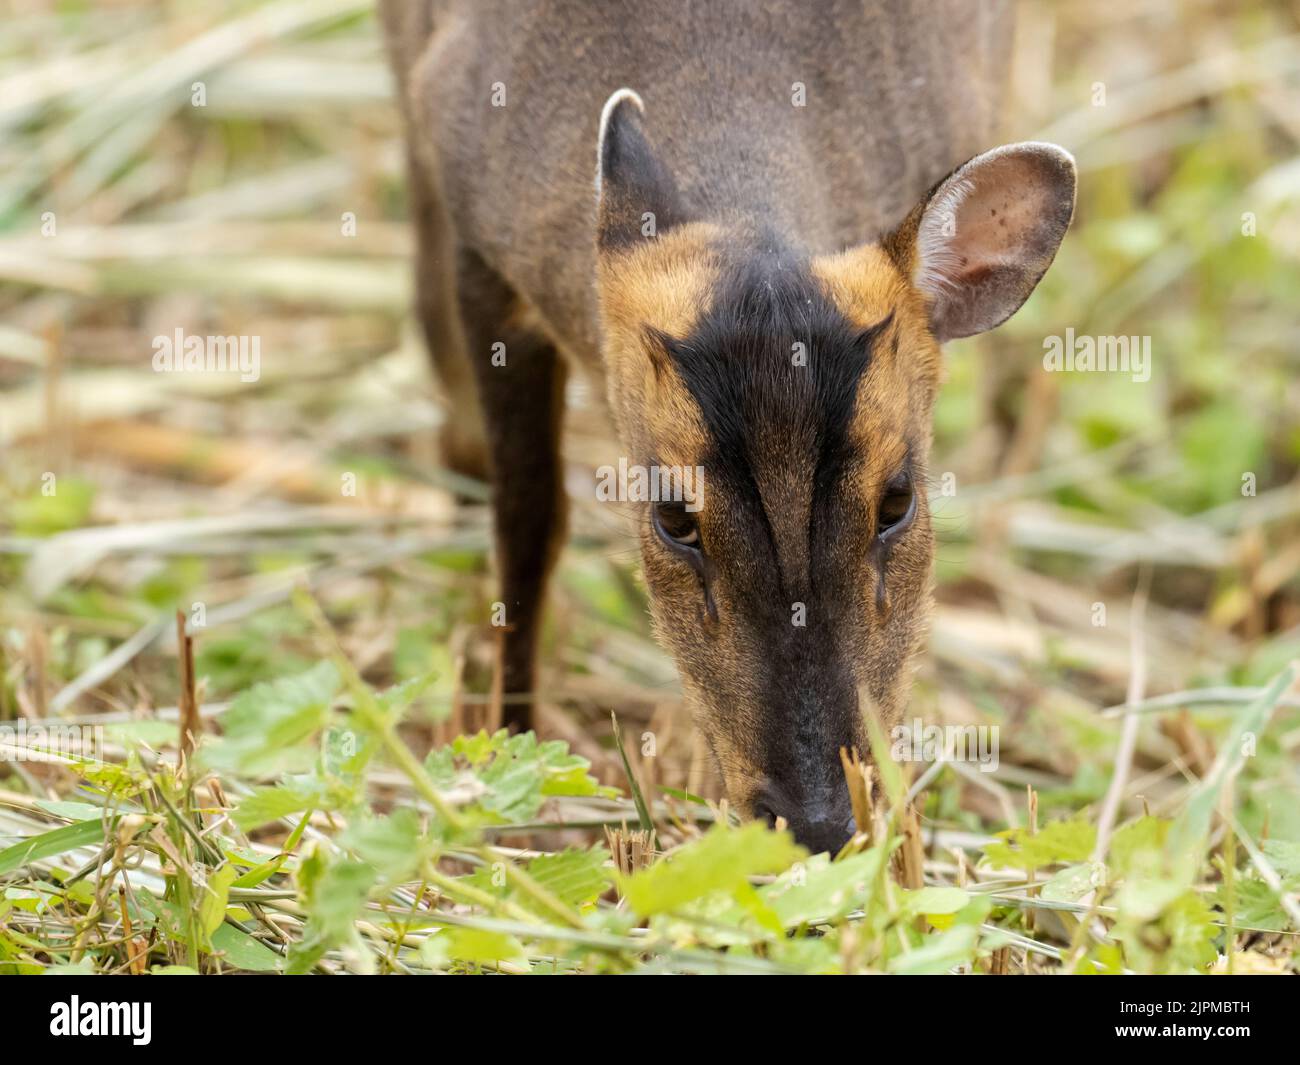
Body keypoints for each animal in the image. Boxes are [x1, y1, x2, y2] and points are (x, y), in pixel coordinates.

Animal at [380, 0, 1075, 853]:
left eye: (898, 501)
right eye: (674, 515)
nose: (819, 821)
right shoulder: (479, 233)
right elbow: (527, 525)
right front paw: (511, 755)